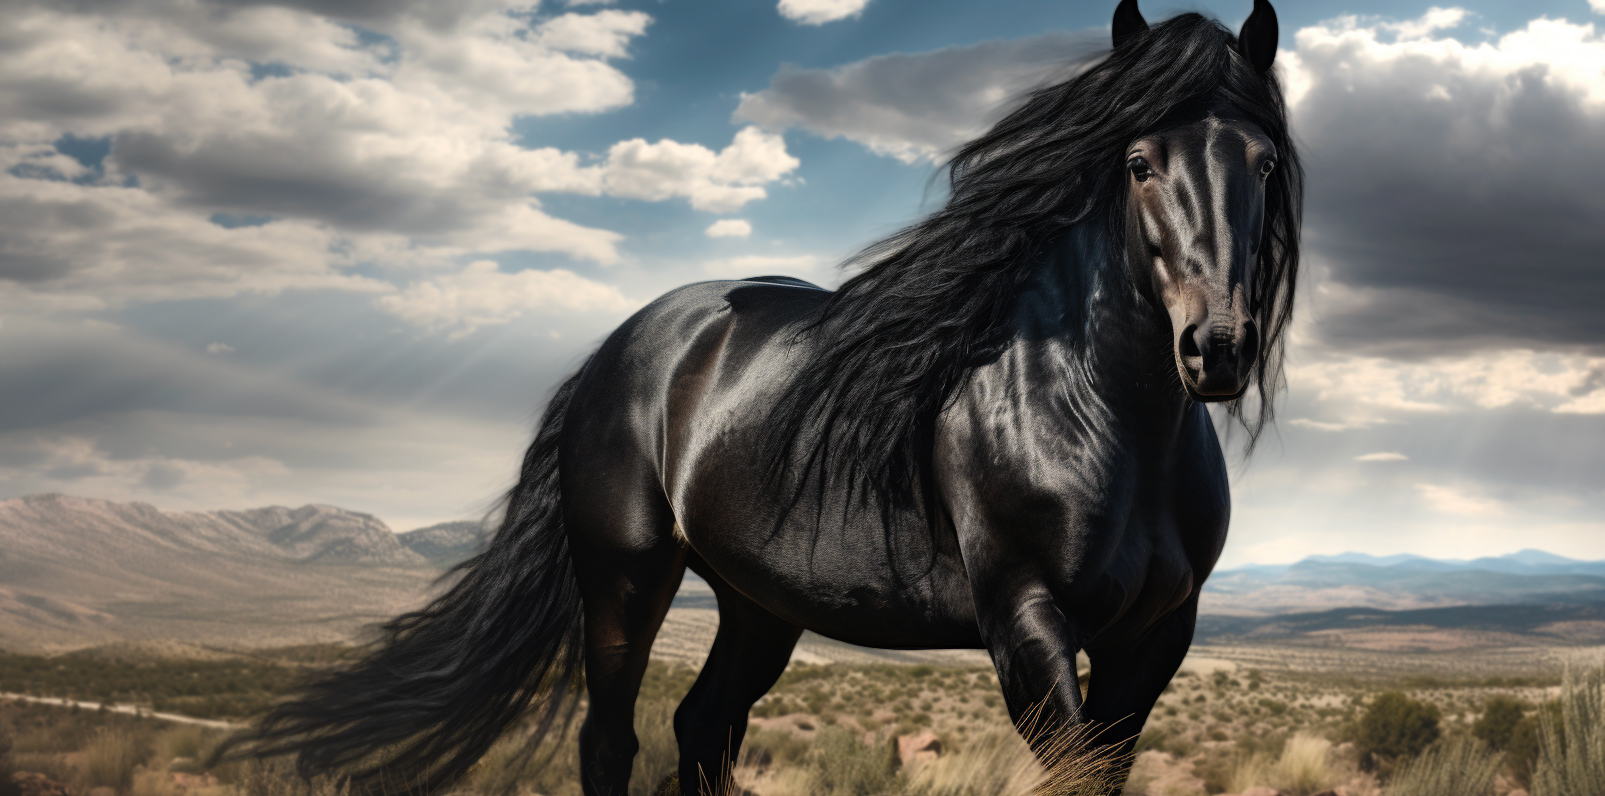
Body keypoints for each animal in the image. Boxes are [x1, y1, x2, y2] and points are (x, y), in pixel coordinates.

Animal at [232, 1, 1302, 793]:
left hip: (758, 604)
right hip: (624, 579)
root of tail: (628, 344)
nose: (1215, 349)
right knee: (611, 741)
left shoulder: (1154, 637)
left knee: (700, 731)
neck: (1095, 416)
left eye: (1262, 163)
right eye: (1138, 164)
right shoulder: (1027, 622)